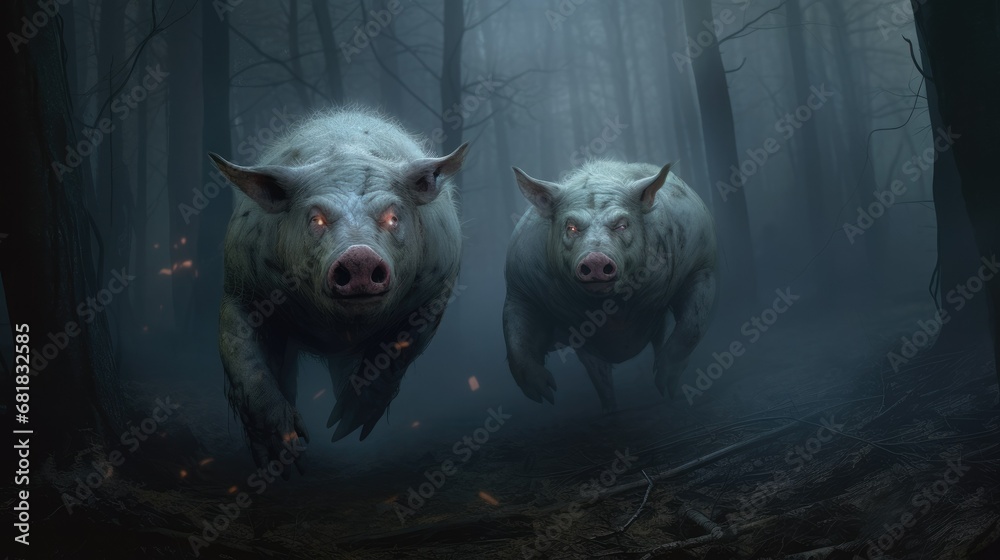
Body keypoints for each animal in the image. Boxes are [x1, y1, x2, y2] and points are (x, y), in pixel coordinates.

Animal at [210, 108, 468, 470]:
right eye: (316, 219)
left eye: (392, 217)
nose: (359, 256)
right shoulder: (240, 287)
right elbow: (245, 361)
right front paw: (289, 457)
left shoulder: (433, 295)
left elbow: (393, 356)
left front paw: (343, 428)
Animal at [503, 160, 716, 412]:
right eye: (571, 227)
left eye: (622, 225)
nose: (595, 259)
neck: (612, 310)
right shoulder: (520, 287)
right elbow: (516, 338)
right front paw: (545, 394)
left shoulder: (702, 264)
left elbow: (691, 328)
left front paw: (667, 385)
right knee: (599, 374)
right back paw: (610, 411)